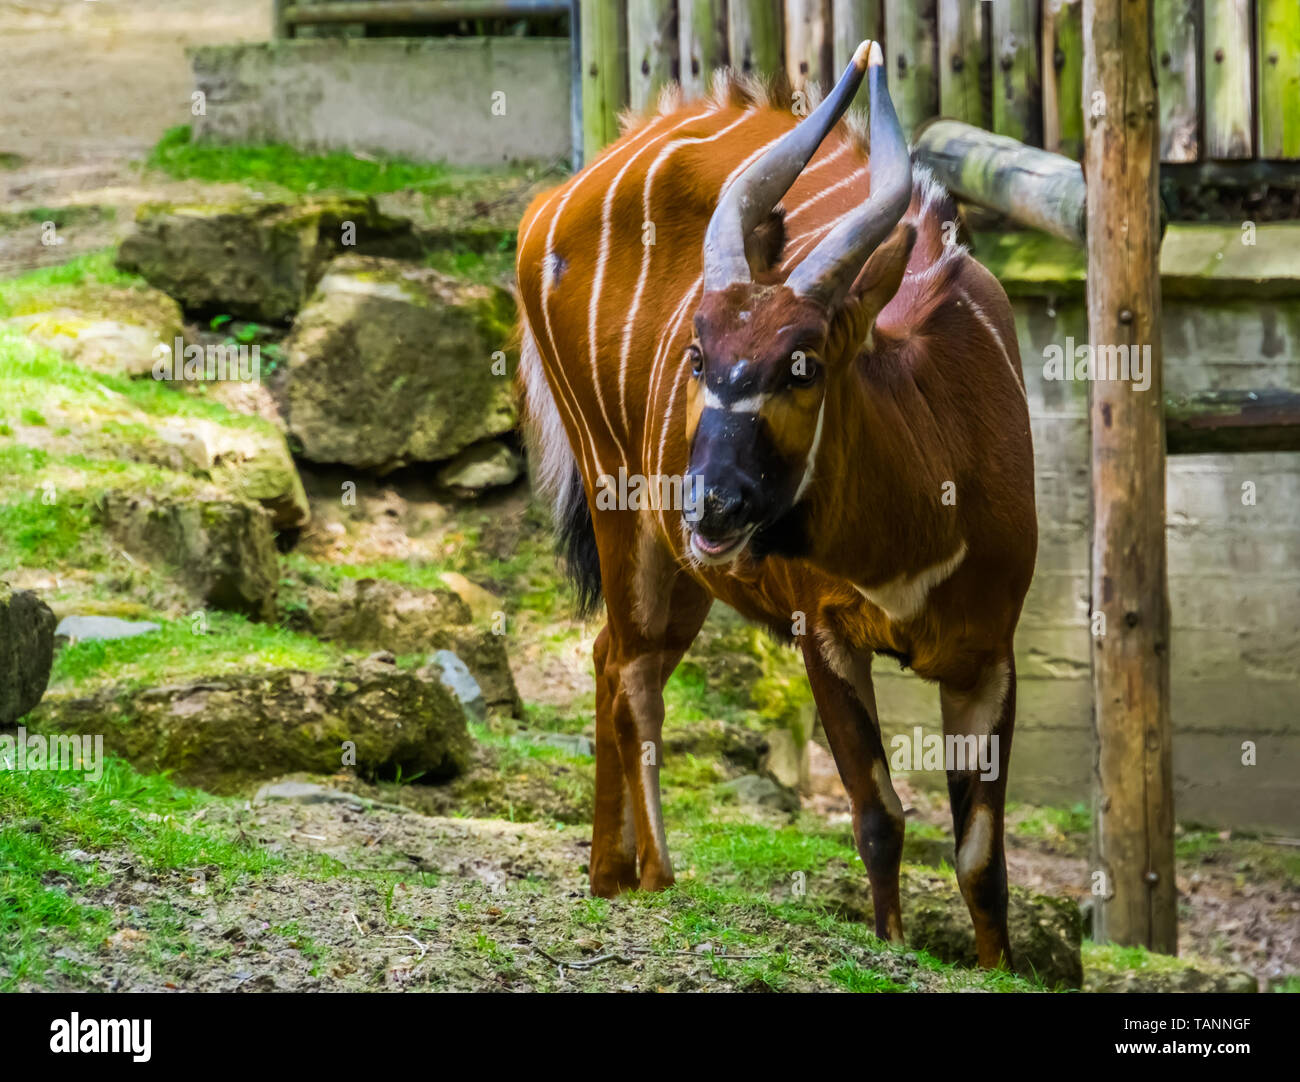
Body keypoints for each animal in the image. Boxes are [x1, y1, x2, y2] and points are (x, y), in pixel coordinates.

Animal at [515, 42, 1036, 968]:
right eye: (696, 356)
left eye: (803, 365)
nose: (712, 503)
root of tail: (552, 201)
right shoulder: (823, 632)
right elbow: (879, 820)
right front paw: (890, 942)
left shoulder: (987, 653)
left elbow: (982, 859)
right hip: (625, 509)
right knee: (634, 674)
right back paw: (657, 877)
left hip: (682, 568)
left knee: (611, 655)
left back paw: (608, 876)